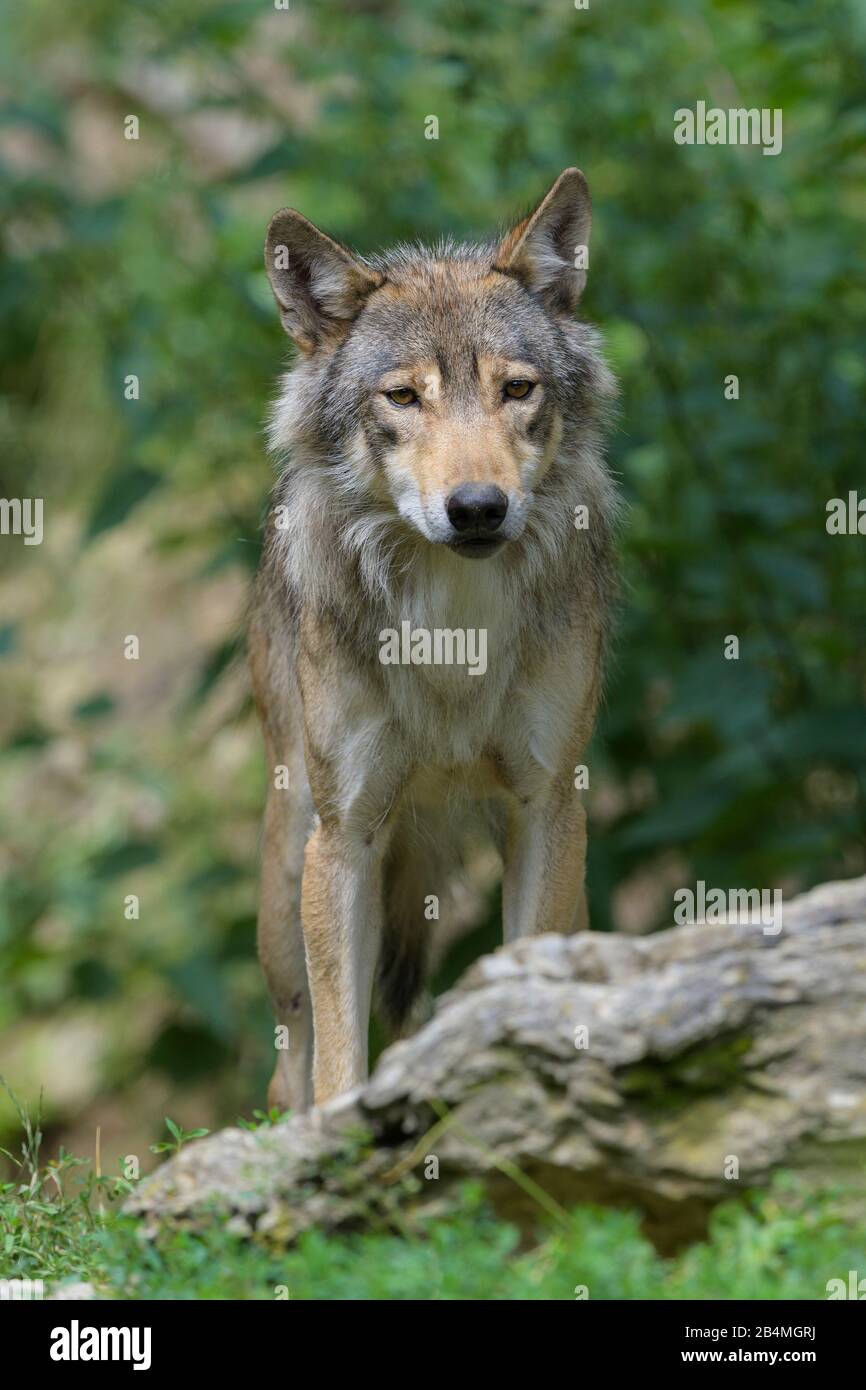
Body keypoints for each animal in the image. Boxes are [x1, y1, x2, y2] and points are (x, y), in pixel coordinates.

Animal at [250, 169, 619, 1110]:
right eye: (403, 397)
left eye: (517, 390)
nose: (478, 508)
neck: (455, 636)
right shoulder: (346, 835)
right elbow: (341, 1058)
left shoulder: (545, 804)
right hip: (287, 877)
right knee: (289, 1061)